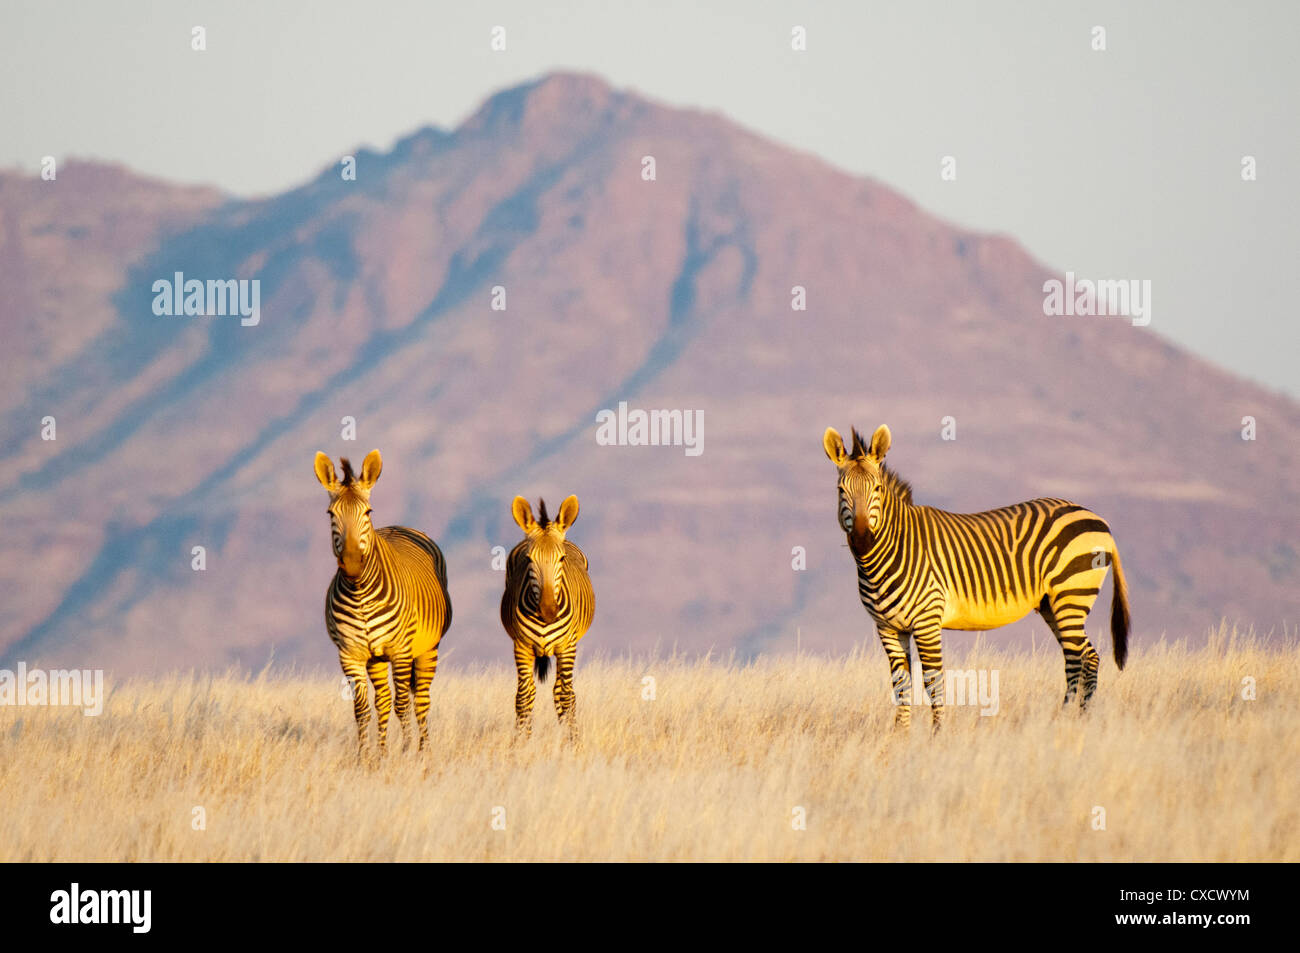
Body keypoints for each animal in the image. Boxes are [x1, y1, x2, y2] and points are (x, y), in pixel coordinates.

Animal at [314, 449, 452, 757]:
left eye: (367, 512)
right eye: (330, 514)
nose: (352, 563)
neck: (360, 594)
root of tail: (399, 526)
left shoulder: (400, 650)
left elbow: (402, 705)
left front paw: (407, 751)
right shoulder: (350, 655)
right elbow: (363, 709)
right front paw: (367, 757)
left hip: (427, 648)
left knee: (420, 701)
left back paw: (423, 751)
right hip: (375, 658)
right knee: (384, 701)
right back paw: (384, 750)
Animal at [500, 495, 594, 738]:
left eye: (561, 559)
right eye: (529, 559)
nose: (548, 611)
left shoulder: (567, 646)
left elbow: (566, 696)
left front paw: (573, 741)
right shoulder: (521, 646)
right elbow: (523, 697)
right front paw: (521, 741)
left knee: (562, 691)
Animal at [823, 424, 1130, 728]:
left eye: (877, 488)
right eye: (840, 490)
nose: (862, 539)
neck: (888, 554)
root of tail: (1097, 517)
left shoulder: (927, 621)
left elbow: (933, 681)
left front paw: (937, 734)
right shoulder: (887, 627)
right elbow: (901, 685)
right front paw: (900, 735)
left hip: (1071, 595)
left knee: (1079, 659)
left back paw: (1067, 720)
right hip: (1052, 604)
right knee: (1086, 657)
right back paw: (1077, 720)